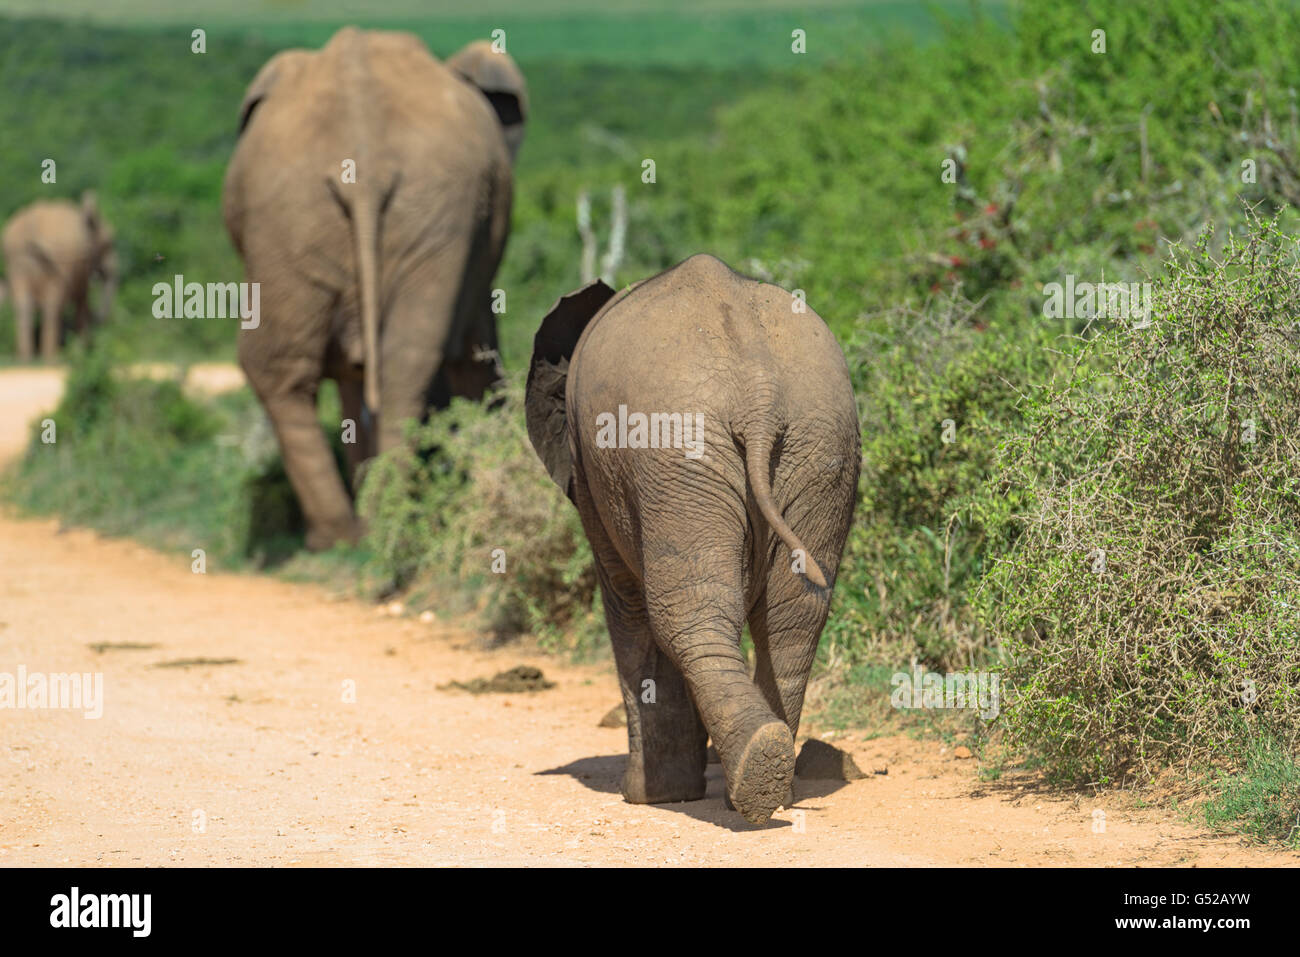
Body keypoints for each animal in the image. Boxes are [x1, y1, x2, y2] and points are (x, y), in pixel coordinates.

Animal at [2, 192, 117, 361]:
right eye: (109, 244)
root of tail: (32, 229)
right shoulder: (79, 262)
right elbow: (81, 297)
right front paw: (81, 353)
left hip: (17, 260)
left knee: (24, 307)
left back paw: (26, 359)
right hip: (56, 260)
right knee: (54, 306)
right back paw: (53, 358)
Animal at [222, 27, 527, 550]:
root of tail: (363, 155)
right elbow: (475, 352)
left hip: (317, 217)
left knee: (295, 364)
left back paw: (355, 532)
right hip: (352, 215)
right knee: (391, 358)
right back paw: (363, 529)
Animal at [526, 254, 860, 824]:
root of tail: (758, 391)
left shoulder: (590, 472)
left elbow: (627, 606)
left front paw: (648, 797)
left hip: (677, 452)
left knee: (685, 612)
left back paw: (740, 782)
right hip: (816, 443)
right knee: (793, 617)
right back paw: (767, 779)